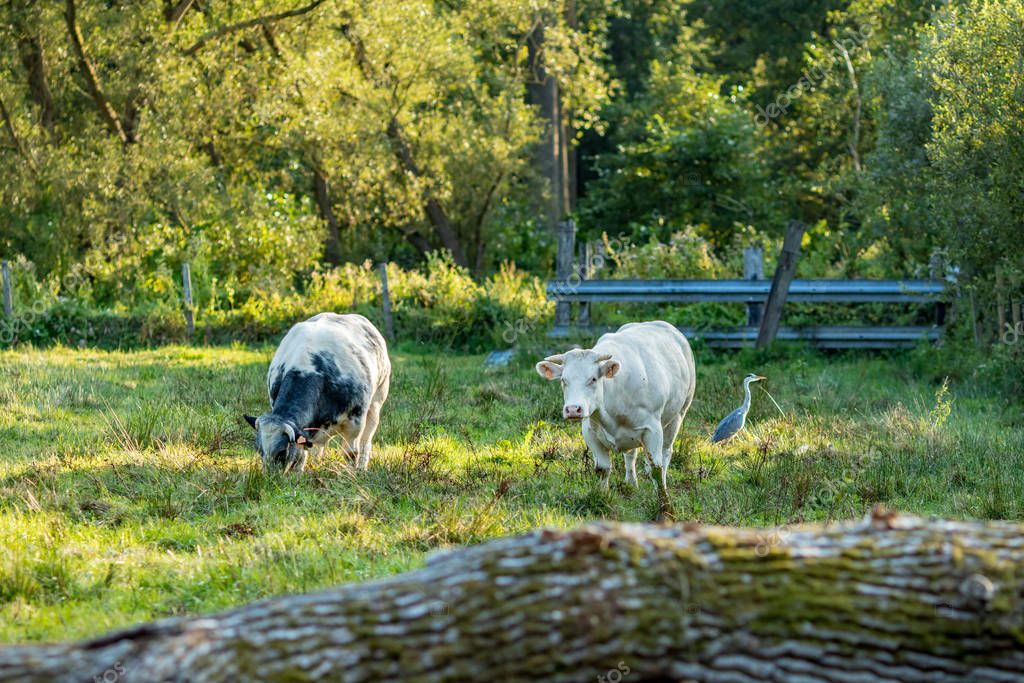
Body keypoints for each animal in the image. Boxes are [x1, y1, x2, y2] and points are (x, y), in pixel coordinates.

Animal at [244, 313, 390, 473]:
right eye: (259, 450)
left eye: (281, 452)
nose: (269, 477)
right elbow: (300, 453)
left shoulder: (355, 424)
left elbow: (350, 454)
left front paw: (350, 474)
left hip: (377, 401)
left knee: (366, 441)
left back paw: (362, 467)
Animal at [536, 321, 696, 490]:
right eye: (563, 380)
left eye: (593, 379)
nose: (573, 409)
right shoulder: (590, 432)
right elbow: (603, 469)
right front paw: (602, 493)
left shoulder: (653, 429)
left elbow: (656, 469)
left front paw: (663, 496)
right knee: (630, 455)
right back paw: (631, 483)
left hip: (678, 415)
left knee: (665, 454)